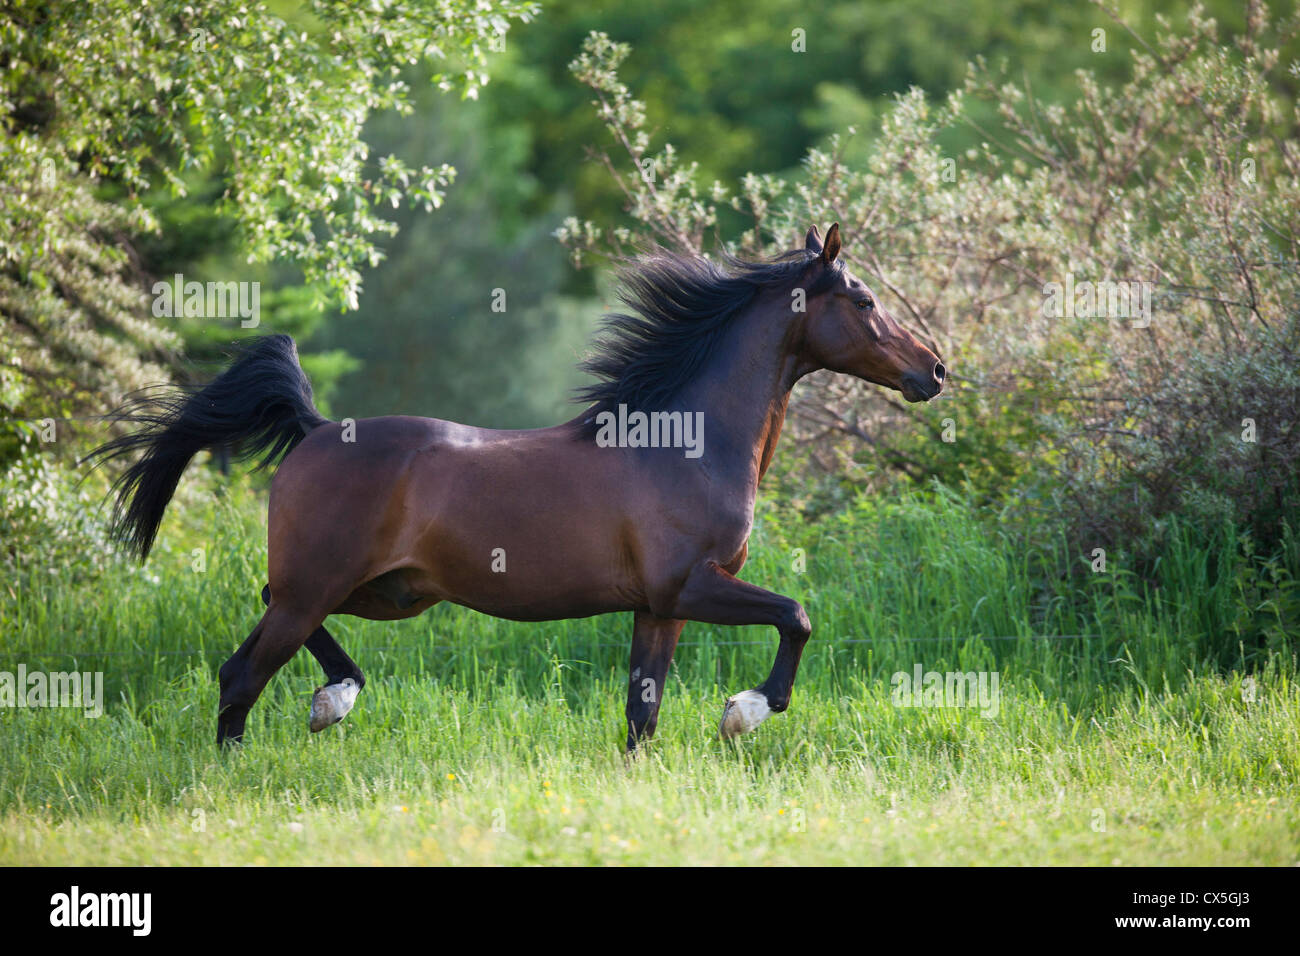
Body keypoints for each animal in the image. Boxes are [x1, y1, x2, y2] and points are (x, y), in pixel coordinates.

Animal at [90, 223, 945, 750]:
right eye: (864, 300)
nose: (934, 371)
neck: (685, 443)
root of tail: (314, 428)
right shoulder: (693, 584)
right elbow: (796, 616)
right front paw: (744, 712)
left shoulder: (657, 606)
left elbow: (641, 713)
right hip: (324, 585)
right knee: (244, 671)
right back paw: (264, 748)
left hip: (381, 590)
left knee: (265, 630)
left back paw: (334, 698)